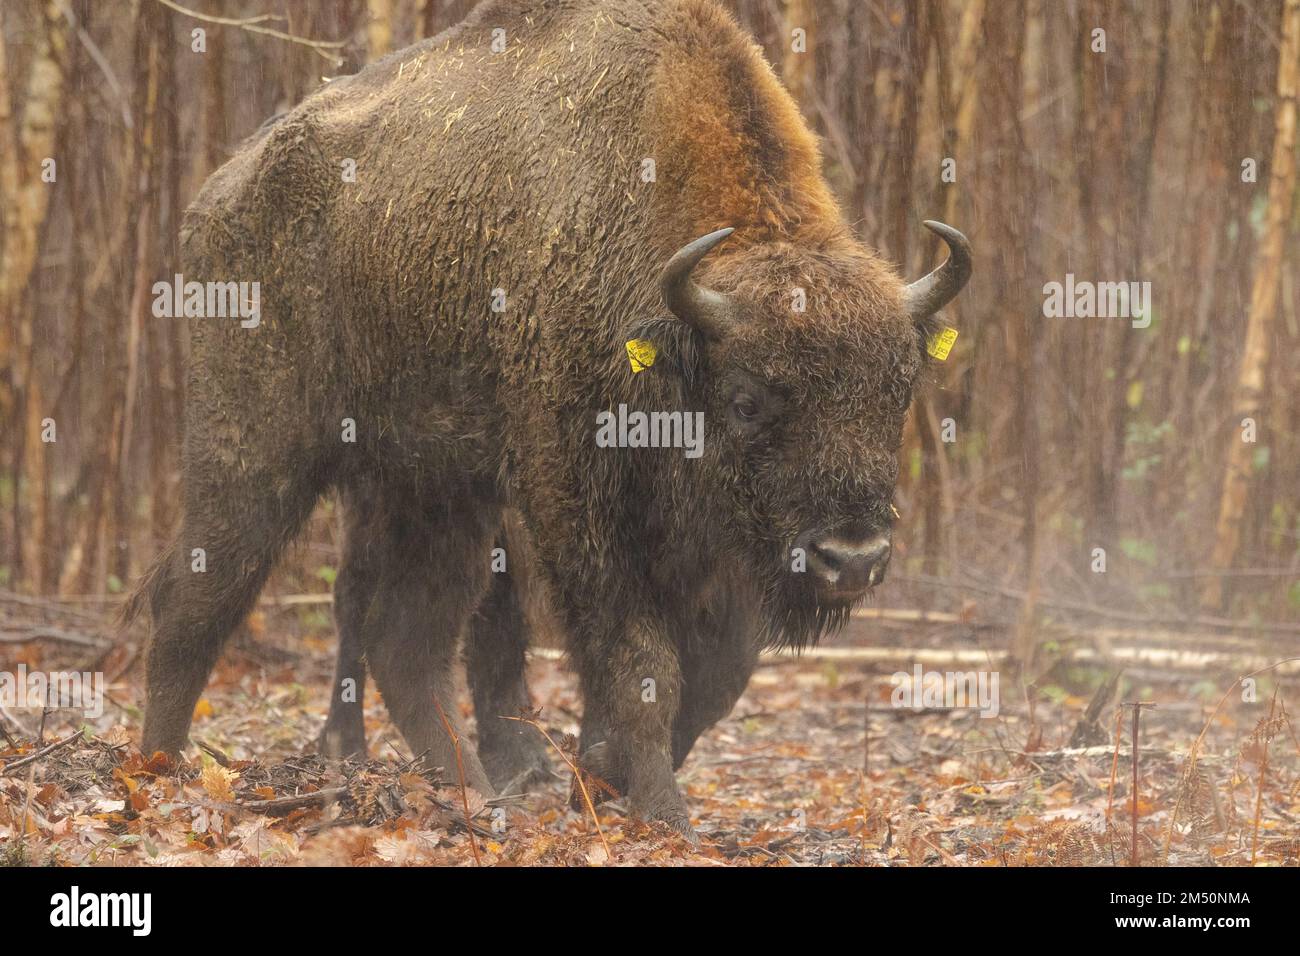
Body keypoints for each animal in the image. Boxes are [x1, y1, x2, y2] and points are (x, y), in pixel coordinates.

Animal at [128, 0, 970, 841]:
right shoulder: (578, 501)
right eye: (748, 399)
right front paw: (662, 814)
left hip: (432, 484)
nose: (852, 558)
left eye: (898, 391)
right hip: (255, 443)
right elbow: (641, 667)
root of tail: (218, 196)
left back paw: (476, 798)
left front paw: (597, 777)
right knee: (200, 596)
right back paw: (160, 775)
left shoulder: (725, 546)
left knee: (404, 637)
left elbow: (716, 678)